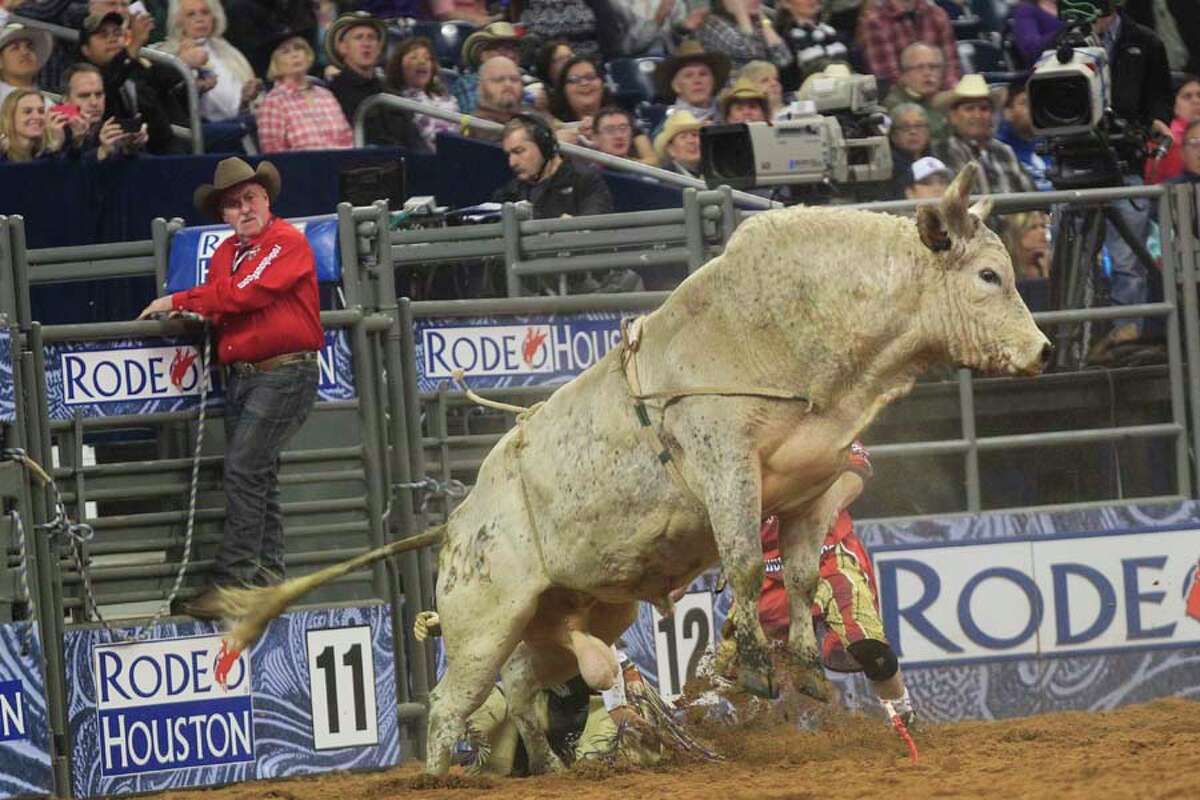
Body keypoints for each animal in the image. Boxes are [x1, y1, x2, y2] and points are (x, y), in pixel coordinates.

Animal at [208, 163, 1050, 776]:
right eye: (988, 277)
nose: (1041, 350)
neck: (793, 329)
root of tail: (454, 523)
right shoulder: (726, 468)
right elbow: (746, 566)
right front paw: (756, 669)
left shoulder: (813, 488)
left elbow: (808, 576)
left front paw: (809, 671)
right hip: (482, 620)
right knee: (450, 706)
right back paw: (444, 777)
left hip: (558, 619)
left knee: (529, 691)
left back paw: (556, 769)